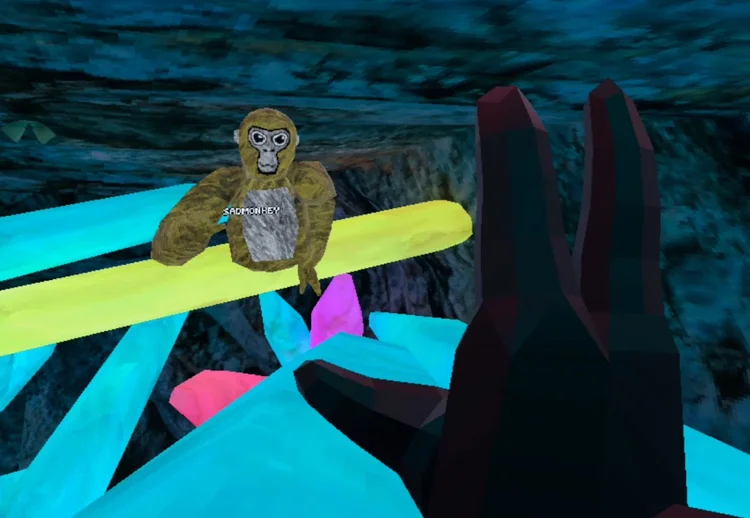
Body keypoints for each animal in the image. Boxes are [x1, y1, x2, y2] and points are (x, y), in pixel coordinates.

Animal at [151, 108, 336, 295]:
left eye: (279, 140)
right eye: (258, 138)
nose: (268, 149)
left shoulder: (310, 174)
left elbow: (321, 205)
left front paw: (307, 266)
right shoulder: (224, 176)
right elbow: (180, 217)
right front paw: (196, 230)